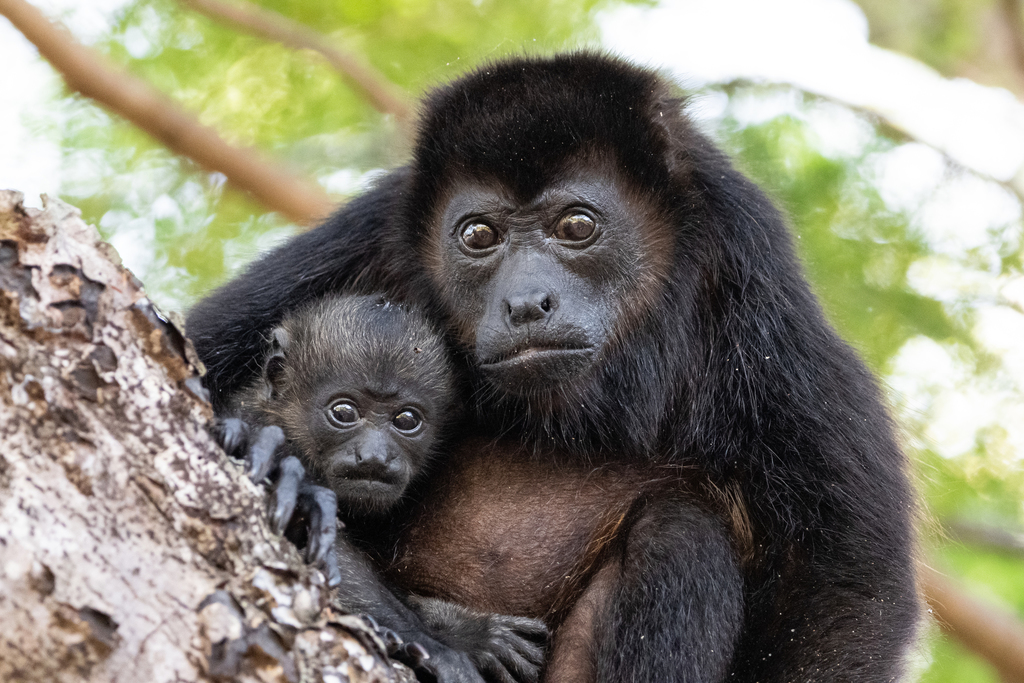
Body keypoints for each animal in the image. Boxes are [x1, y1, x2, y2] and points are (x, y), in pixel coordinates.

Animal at [215, 294, 547, 683]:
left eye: (406, 419)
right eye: (344, 412)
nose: (374, 455)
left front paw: (463, 629)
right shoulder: (261, 424)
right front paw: (444, 645)